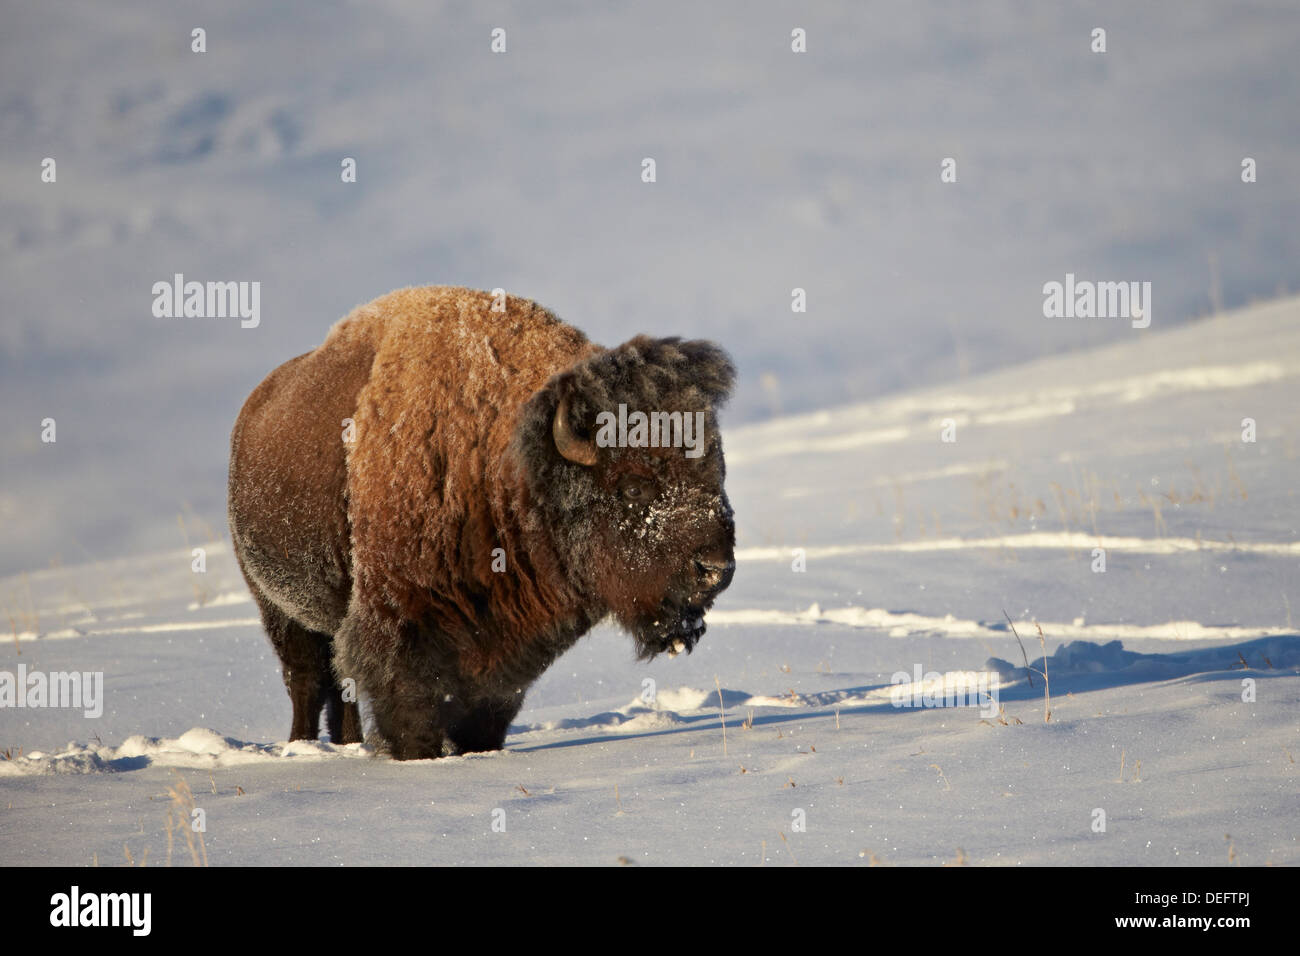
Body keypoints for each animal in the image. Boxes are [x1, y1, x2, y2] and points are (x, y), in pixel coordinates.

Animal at [227, 286, 736, 759]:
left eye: (717, 471)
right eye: (633, 486)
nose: (716, 568)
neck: (507, 464)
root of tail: (251, 412)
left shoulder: (508, 659)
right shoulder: (400, 631)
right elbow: (408, 711)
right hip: (277, 605)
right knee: (307, 680)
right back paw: (302, 746)